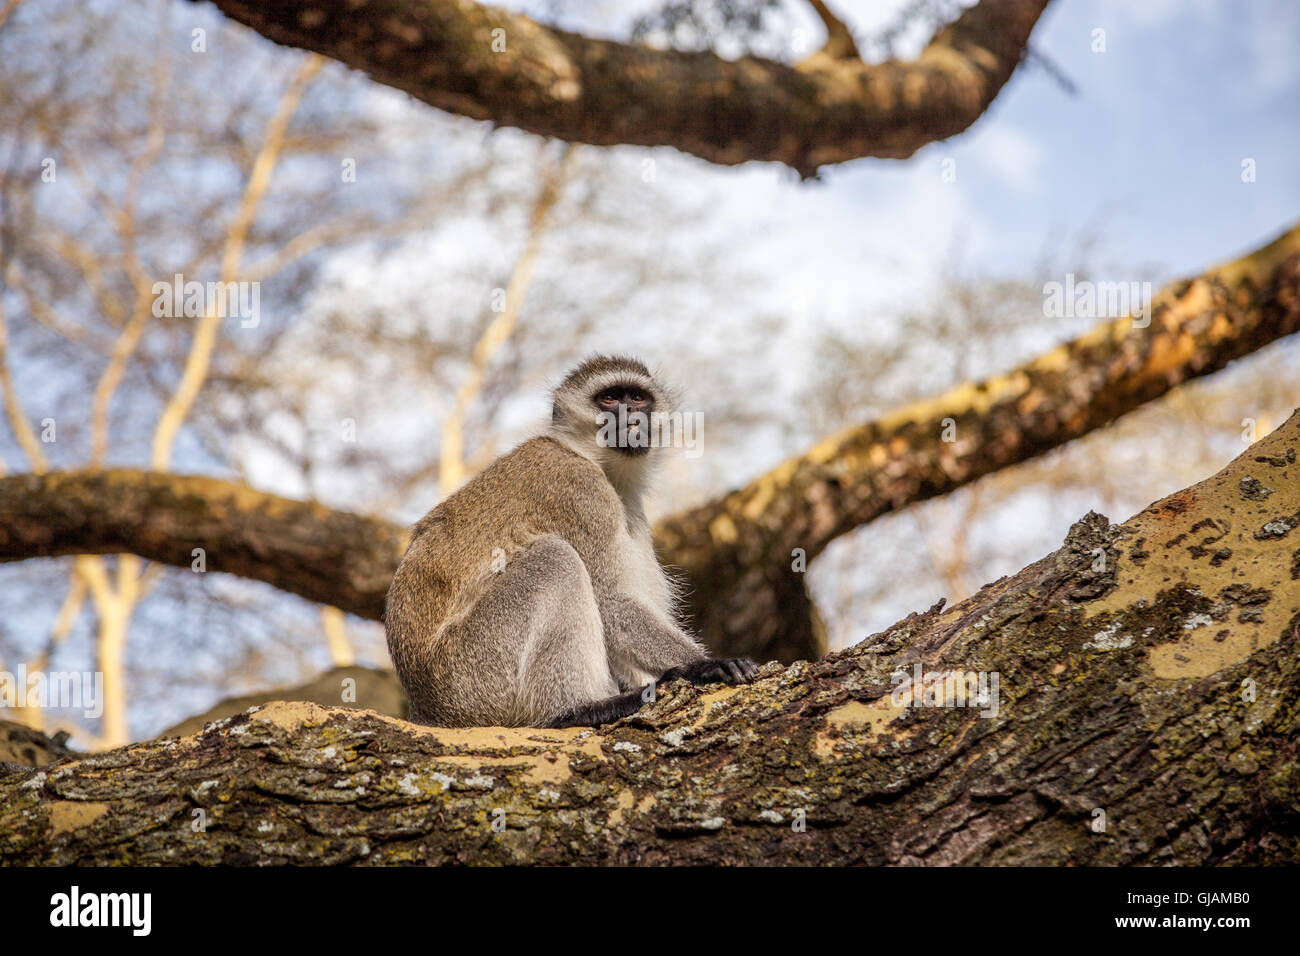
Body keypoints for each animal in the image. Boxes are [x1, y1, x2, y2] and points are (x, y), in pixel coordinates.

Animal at [384, 355, 760, 728]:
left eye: (638, 398)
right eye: (609, 398)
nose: (631, 416)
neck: (588, 455)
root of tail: (427, 709)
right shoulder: (579, 491)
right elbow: (609, 598)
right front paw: (702, 665)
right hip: (474, 674)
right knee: (555, 559)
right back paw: (576, 709)